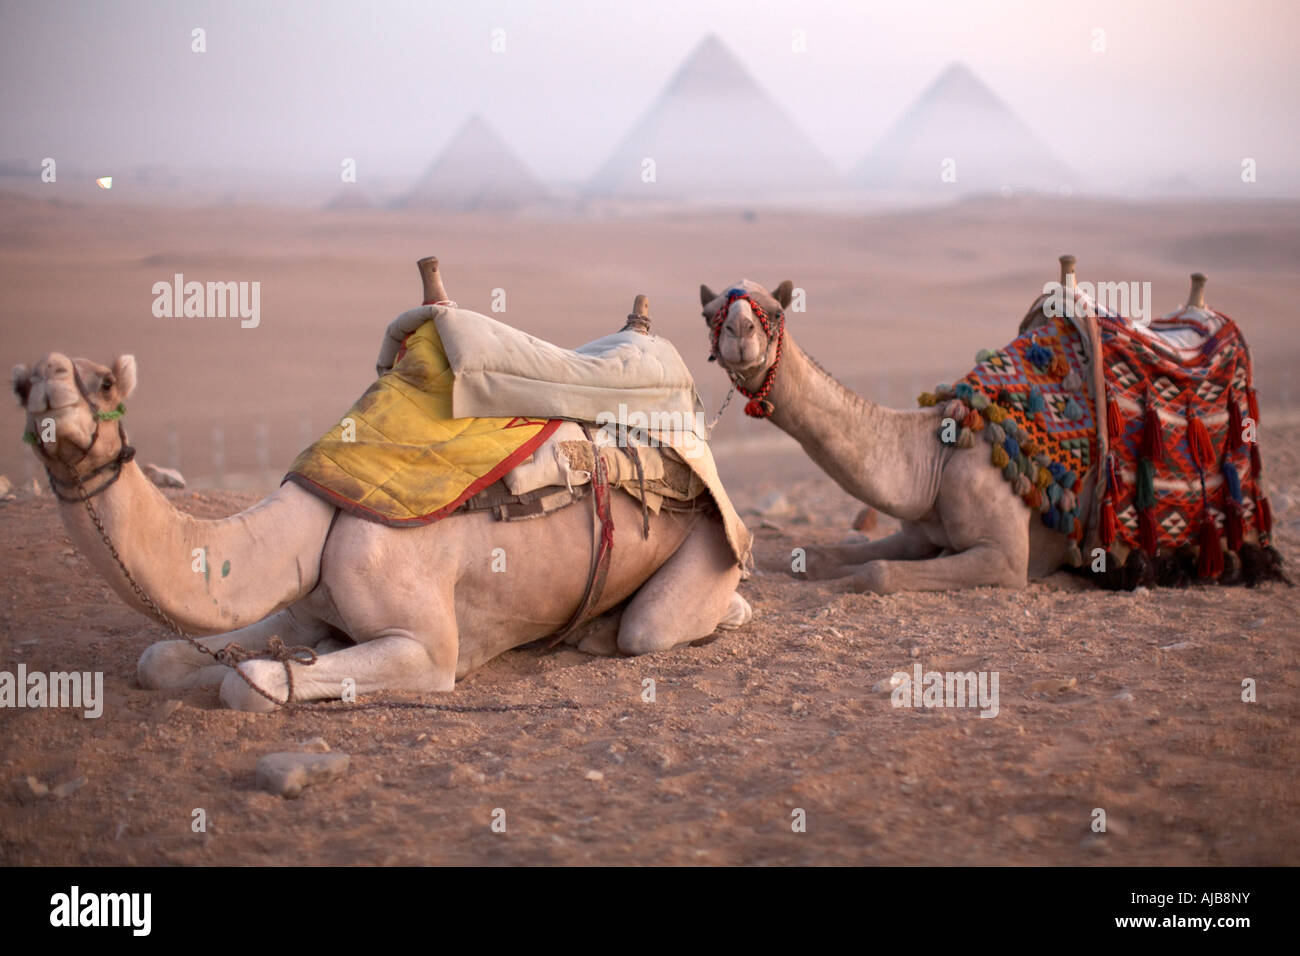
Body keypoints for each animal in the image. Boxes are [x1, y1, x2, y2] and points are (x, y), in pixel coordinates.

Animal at [11, 260, 752, 713]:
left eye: (104, 385)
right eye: (20, 385)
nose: (47, 397)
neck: (321, 513)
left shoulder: (425, 648)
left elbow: (250, 681)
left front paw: (245, 676)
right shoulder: (306, 605)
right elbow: (159, 657)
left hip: (706, 544)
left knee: (656, 627)